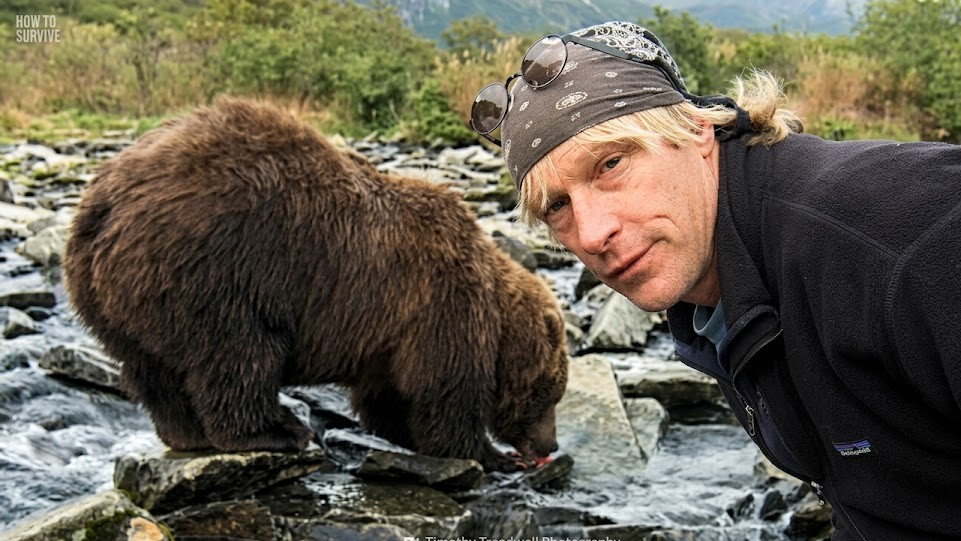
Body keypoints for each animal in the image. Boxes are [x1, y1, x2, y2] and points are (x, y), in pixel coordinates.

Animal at [62, 97, 568, 472]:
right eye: (551, 391)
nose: (550, 445)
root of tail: (103, 203)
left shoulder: (390, 333)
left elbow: (387, 400)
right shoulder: (442, 302)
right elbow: (444, 391)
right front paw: (492, 454)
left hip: (112, 296)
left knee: (150, 369)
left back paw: (185, 432)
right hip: (222, 267)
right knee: (236, 354)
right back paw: (277, 430)